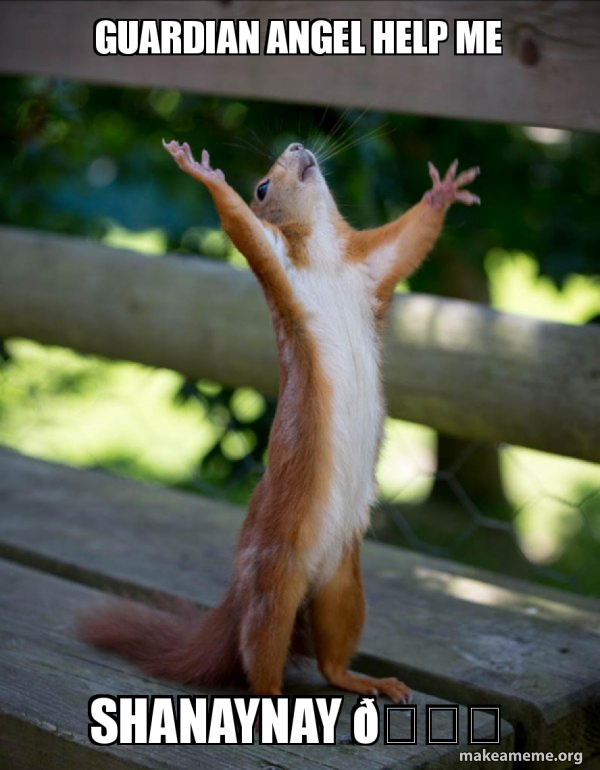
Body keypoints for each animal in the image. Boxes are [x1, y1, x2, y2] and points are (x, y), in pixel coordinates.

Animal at [78, 139, 479, 703]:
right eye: (262, 187)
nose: (296, 146)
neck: (327, 259)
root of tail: (238, 595)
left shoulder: (372, 267)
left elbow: (410, 239)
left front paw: (442, 192)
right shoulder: (277, 265)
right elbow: (240, 226)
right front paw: (204, 173)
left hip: (344, 586)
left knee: (332, 658)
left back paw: (367, 679)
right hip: (273, 584)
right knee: (259, 659)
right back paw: (273, 696)